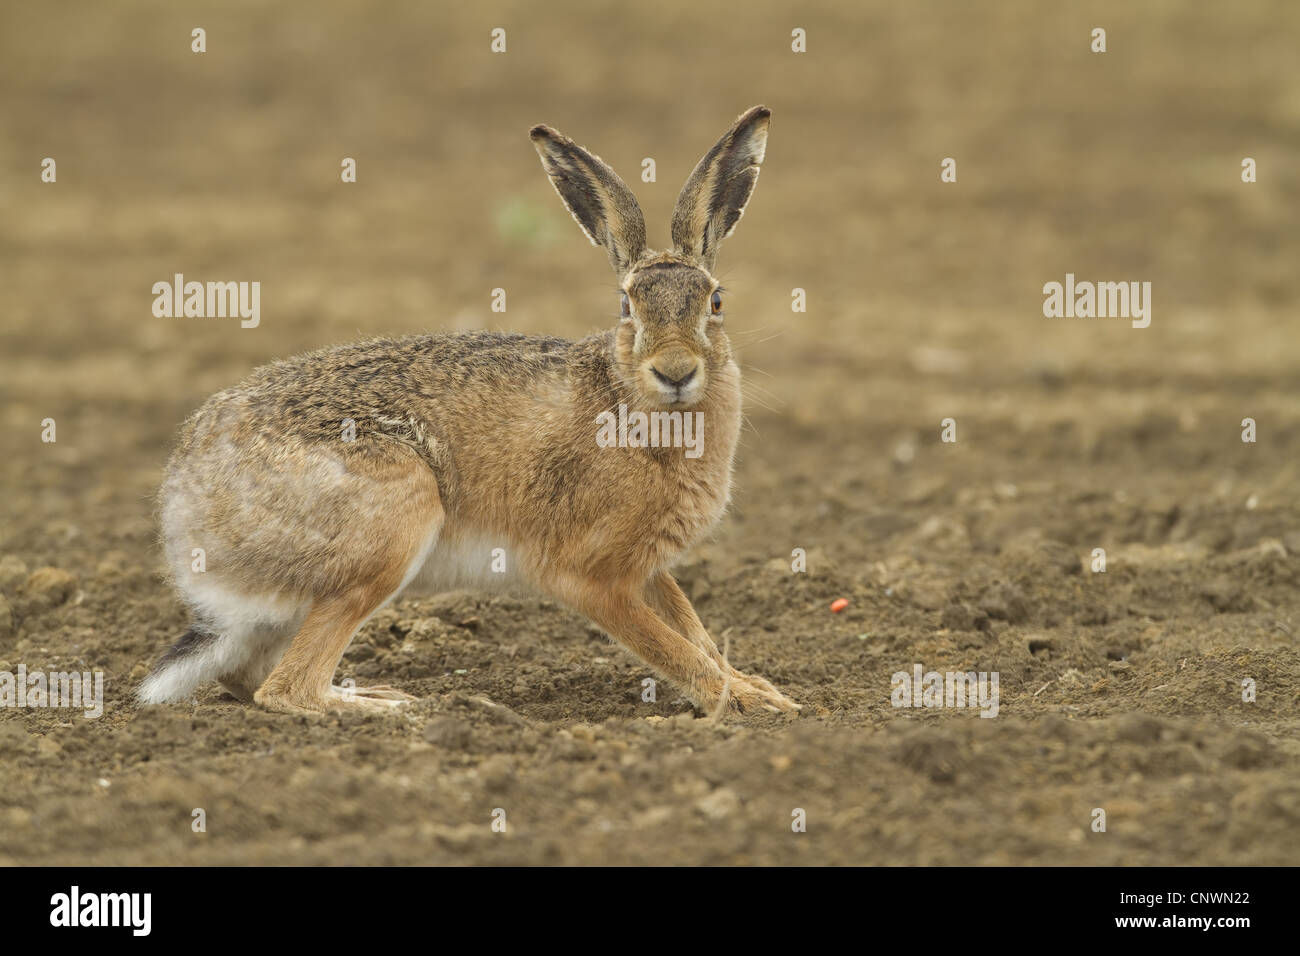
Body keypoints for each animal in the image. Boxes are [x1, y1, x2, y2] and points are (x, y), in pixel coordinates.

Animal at [137, 105, 799, 717]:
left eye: (715, 301)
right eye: (625, 307)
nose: (676, 371)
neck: (631, 400)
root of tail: (183, 518)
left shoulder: (647, 568)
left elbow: (693, 628)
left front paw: (760, 689)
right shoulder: (587, 576)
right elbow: (673, 647)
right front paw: (745, 703)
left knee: (248, 679)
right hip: (393, 521)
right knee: (286, 691)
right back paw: (392, 709)